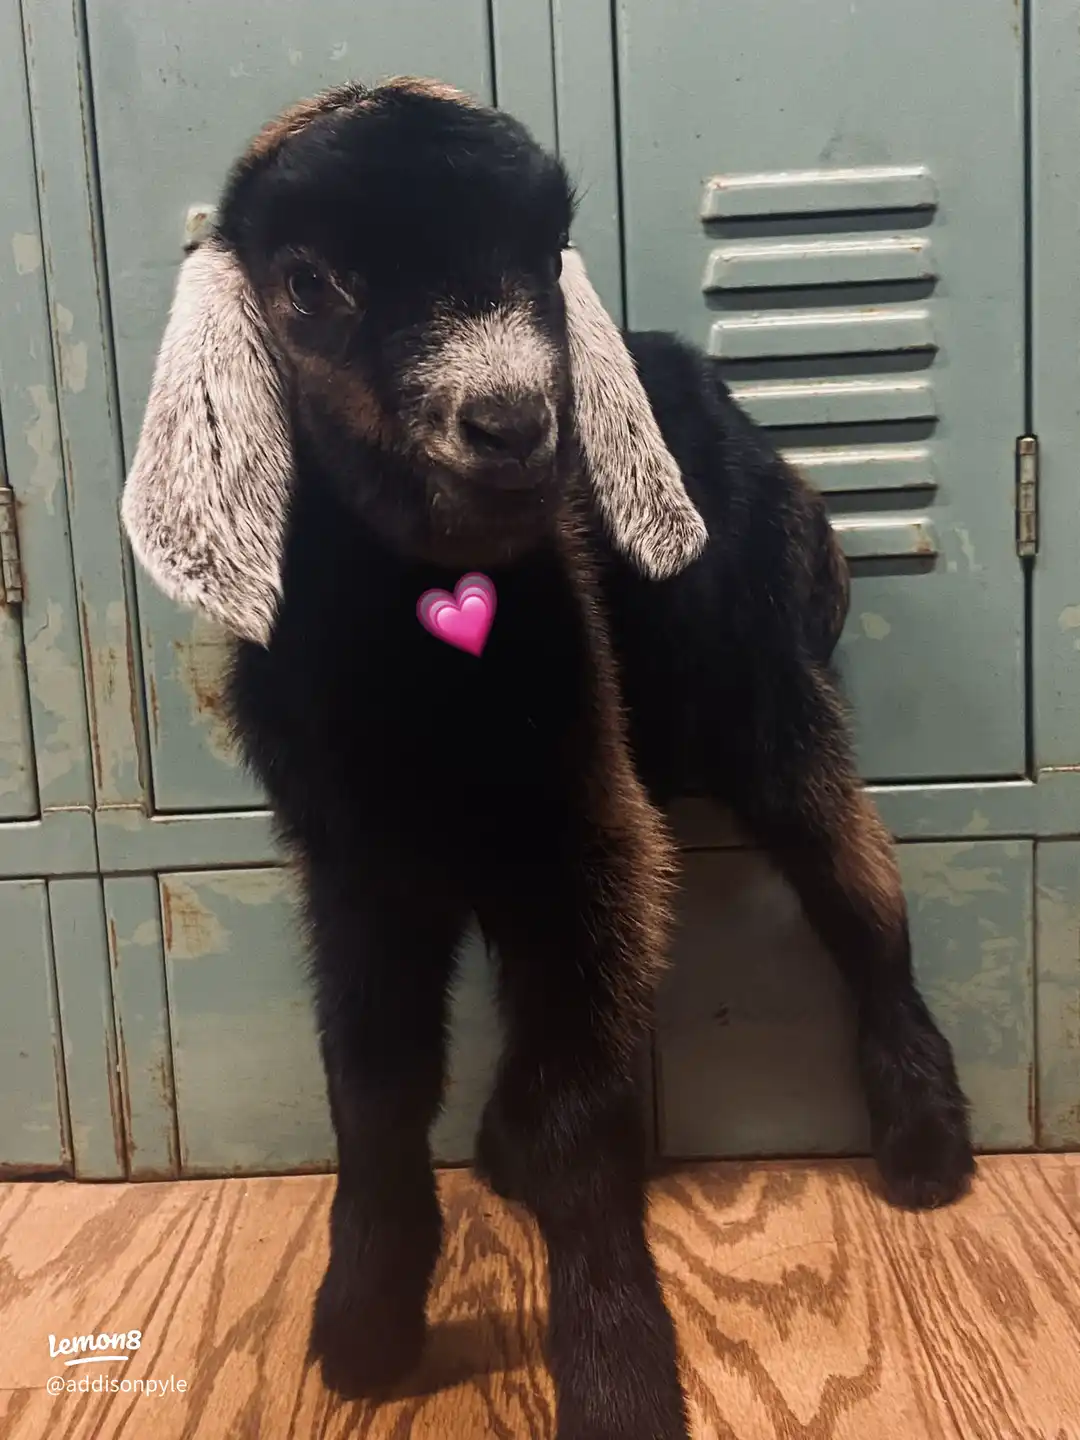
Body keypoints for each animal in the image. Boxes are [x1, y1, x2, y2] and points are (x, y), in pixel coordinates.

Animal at [122, 78, 974, 1440]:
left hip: (766, 701)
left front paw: (619, 1376)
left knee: (862, 903)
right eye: (308, 283)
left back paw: (926, 1137)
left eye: (539, 256)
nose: (517, 423)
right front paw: (365, 1326)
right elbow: (372, 1083)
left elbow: (579, 1107)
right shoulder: (356, 866)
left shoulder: (579, 830)